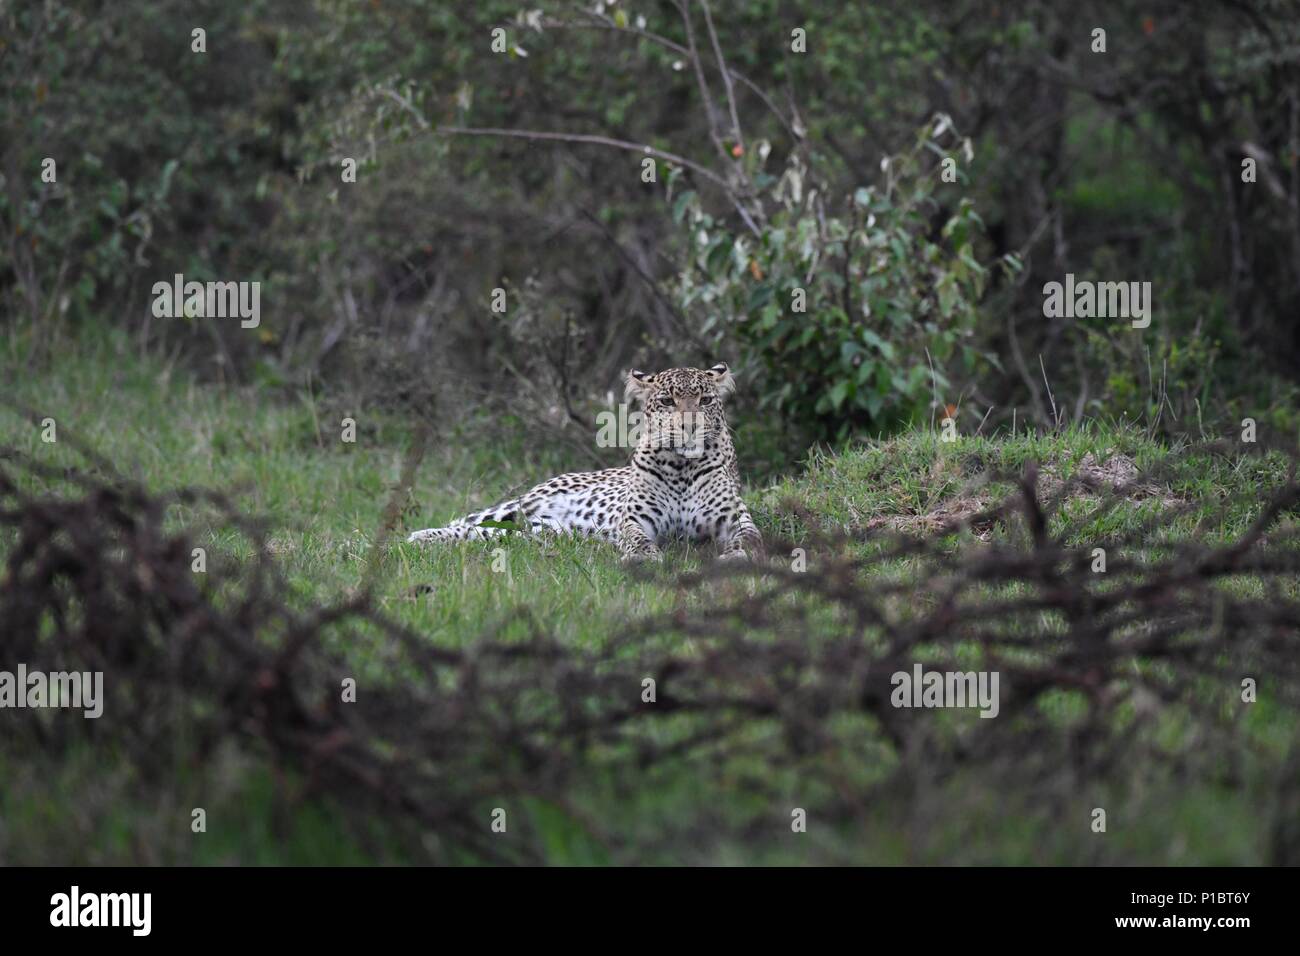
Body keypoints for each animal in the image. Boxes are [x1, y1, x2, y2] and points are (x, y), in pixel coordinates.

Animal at [406, 363, 763, 562]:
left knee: (481, 534)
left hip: (535, 533)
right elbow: (635, 537)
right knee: (466, 521)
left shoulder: (733, 517)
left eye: (705, 400)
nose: (690, 425)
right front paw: (643, 556)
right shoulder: (637, 519)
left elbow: (750, 537)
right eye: (667, 401)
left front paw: (738, 556)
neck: (682, 468)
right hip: (519, 505)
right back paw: (417, 537)